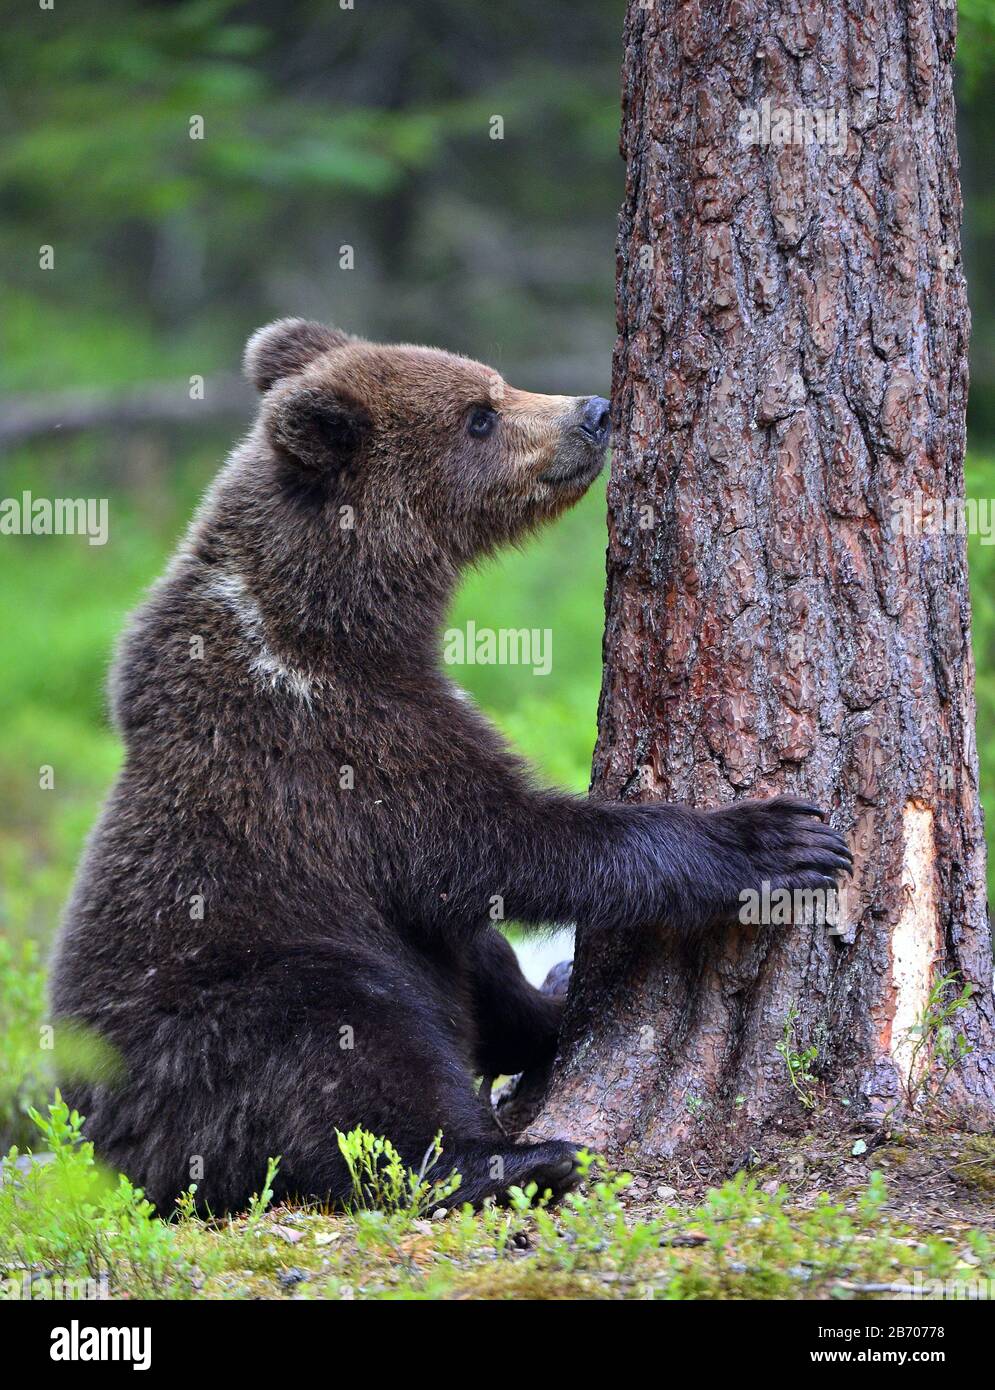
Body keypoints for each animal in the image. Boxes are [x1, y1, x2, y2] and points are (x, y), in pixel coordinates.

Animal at [50, 319, 852, 1213]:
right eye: (478, 415)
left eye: (493, 384)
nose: (594, 412)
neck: (338, 622)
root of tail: (105, 1150)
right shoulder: (338, 743)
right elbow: (498, 839)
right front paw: (775, 841)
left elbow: (478, 920)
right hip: (227, 1006)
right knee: (349, 1046)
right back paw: (514, 1159)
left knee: (470, 971)